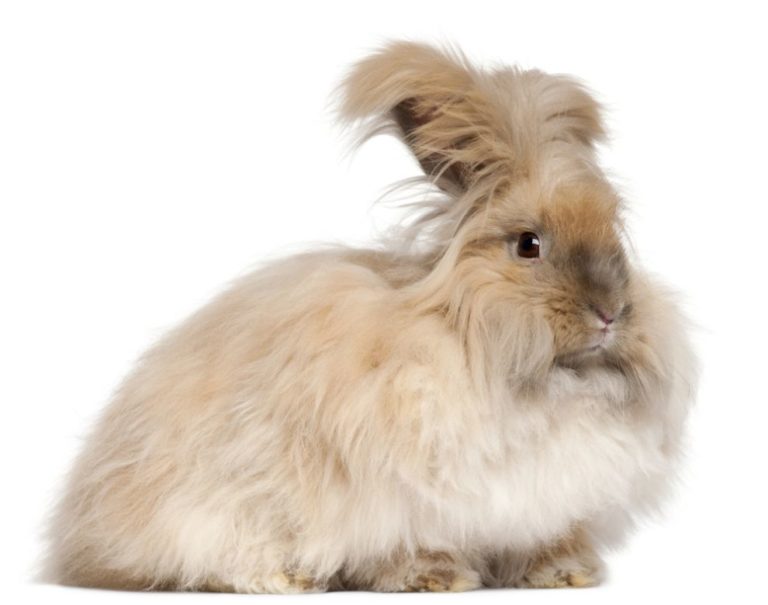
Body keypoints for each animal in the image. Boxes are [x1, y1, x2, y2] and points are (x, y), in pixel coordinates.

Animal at [43, 41, 697, 593]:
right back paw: (287, 578)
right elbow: (401, 537)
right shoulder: (391, 485)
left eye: (615, 235)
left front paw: (565, 572)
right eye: (528, 245)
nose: (611, 313)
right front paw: (435, 577)